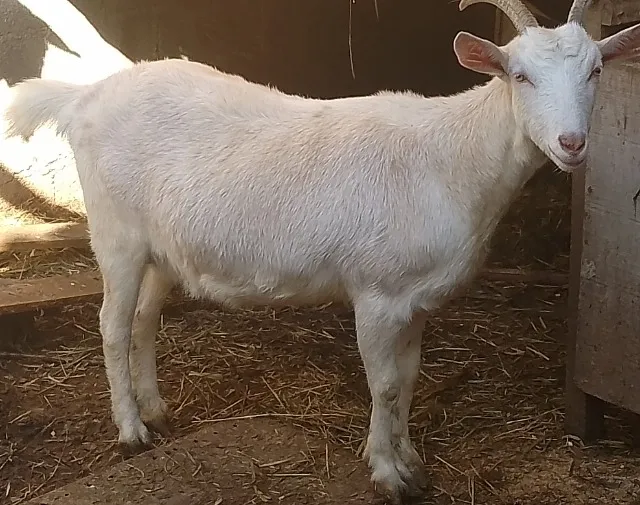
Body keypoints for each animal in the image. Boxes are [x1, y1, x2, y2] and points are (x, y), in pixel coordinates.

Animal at [5, 0, 640, 502]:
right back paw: (131, 431)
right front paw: (388, 474)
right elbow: (384, 384)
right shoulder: (377, 293)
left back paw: (157, 411)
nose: (572, 143)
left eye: (596, 69)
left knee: (142, 321)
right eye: (519, 74)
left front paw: (409, 459)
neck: (450, 157)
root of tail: (86, 96)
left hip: (162, 248)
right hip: (116, 232)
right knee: (112, 325)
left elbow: (409, 378)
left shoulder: (416, 299)